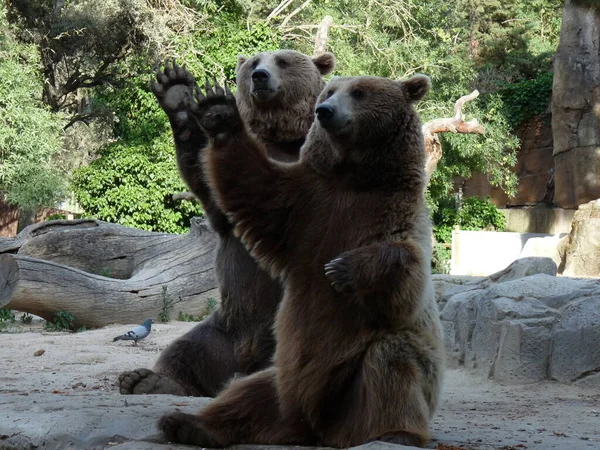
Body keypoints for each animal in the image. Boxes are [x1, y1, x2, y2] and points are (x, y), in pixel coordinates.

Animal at [115, 51, 336, 400]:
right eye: (254, 62)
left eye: (283, 61)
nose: (260, 76)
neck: (281, 137)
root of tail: (248, 355)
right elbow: (208, 184)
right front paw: (182, 92)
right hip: (225, 326)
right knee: (189, 350)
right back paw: (148, 380)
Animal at [158, 74, 446, 446]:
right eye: (329, 92)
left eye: (359, 92)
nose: (325, 111)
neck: (353, 177)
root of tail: (316, 427)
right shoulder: (305, 205)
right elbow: (254, 186)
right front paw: (218, 110)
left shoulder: (397, 212)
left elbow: (408, 273)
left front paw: (343, 269)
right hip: (281, 383)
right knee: (246, 396)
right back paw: (187, 423)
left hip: (355, 386)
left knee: (392, 365)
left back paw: (396, 433)